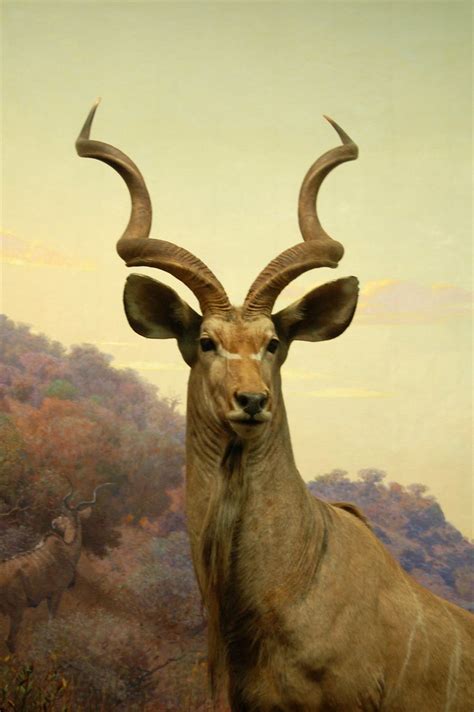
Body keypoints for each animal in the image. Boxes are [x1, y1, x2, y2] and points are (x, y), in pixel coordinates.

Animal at [0, 483, 111, 652]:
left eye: (63, 516)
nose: (54, 521)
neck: (67, 549)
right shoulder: (57, 593)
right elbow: (52, 620)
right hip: (17, 610)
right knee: (10, 640)